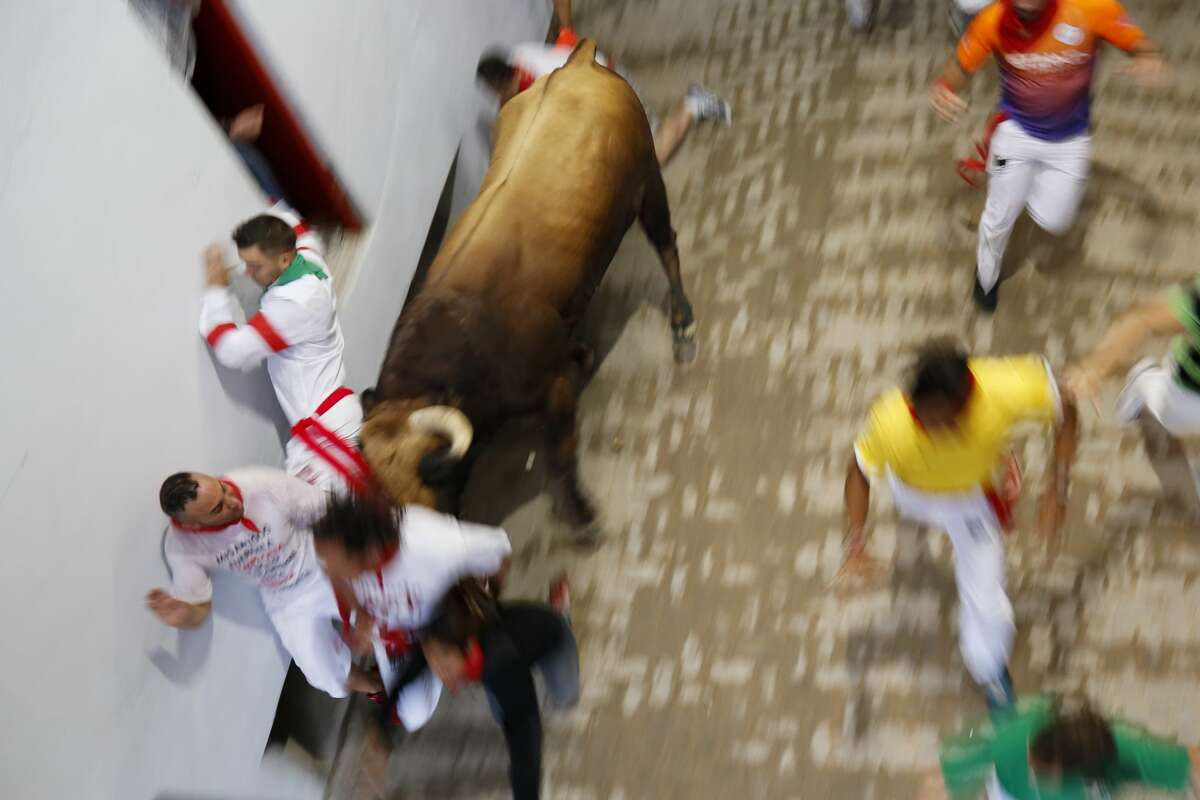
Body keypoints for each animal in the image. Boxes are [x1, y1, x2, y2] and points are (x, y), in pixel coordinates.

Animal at [359, 40, 696, 529]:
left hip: (649, 182)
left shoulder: (554, 390)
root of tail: (576, 65)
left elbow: (560, 456)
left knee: (667, 244)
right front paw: (582, 350)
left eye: (433, 473)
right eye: (382, 491)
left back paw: (682, 322)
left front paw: (581, 514)